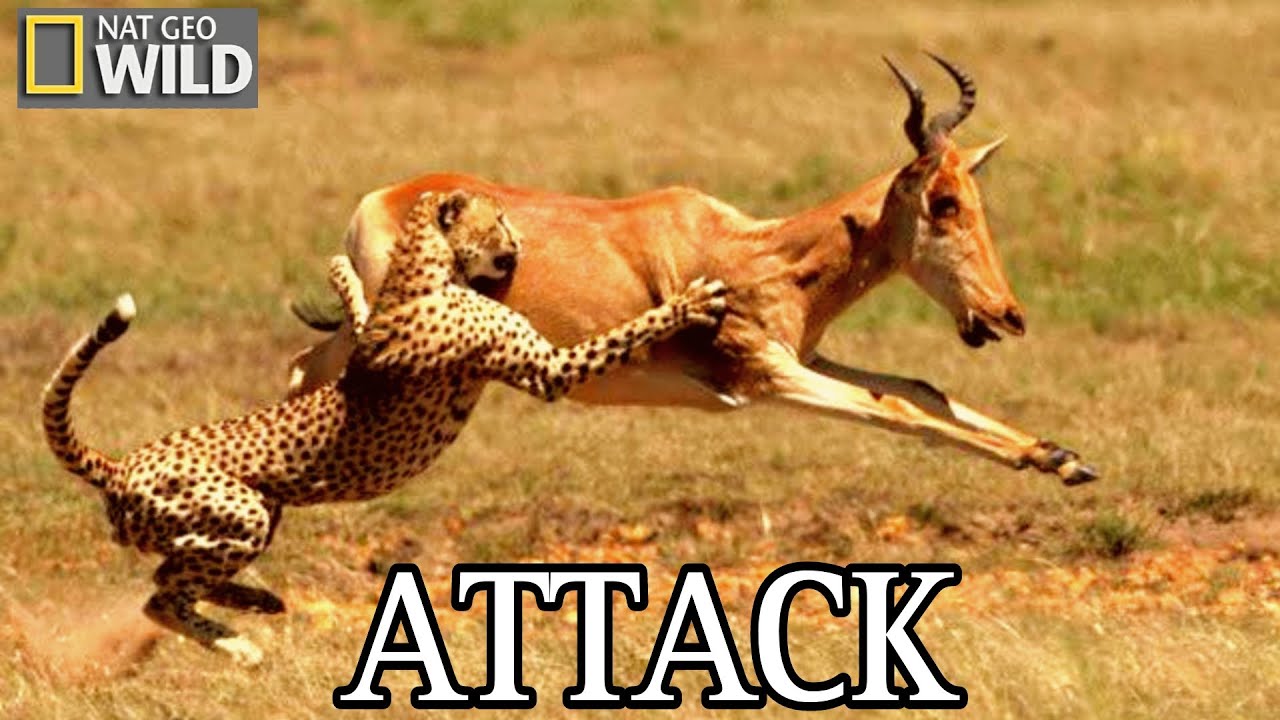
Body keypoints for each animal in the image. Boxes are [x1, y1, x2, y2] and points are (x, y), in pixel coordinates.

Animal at [41, 190, 728, 665]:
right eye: (499, 217)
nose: (522, 242)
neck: (428, 267)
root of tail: (119, 463)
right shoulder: (549, 371)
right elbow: (625, 332)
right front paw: (691, 302)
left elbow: (357, 311)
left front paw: (342, 275)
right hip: (242, 513)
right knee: (161, 595)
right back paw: (240, 644)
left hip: (251, 514)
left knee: (170, 579)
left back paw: (258, 601)